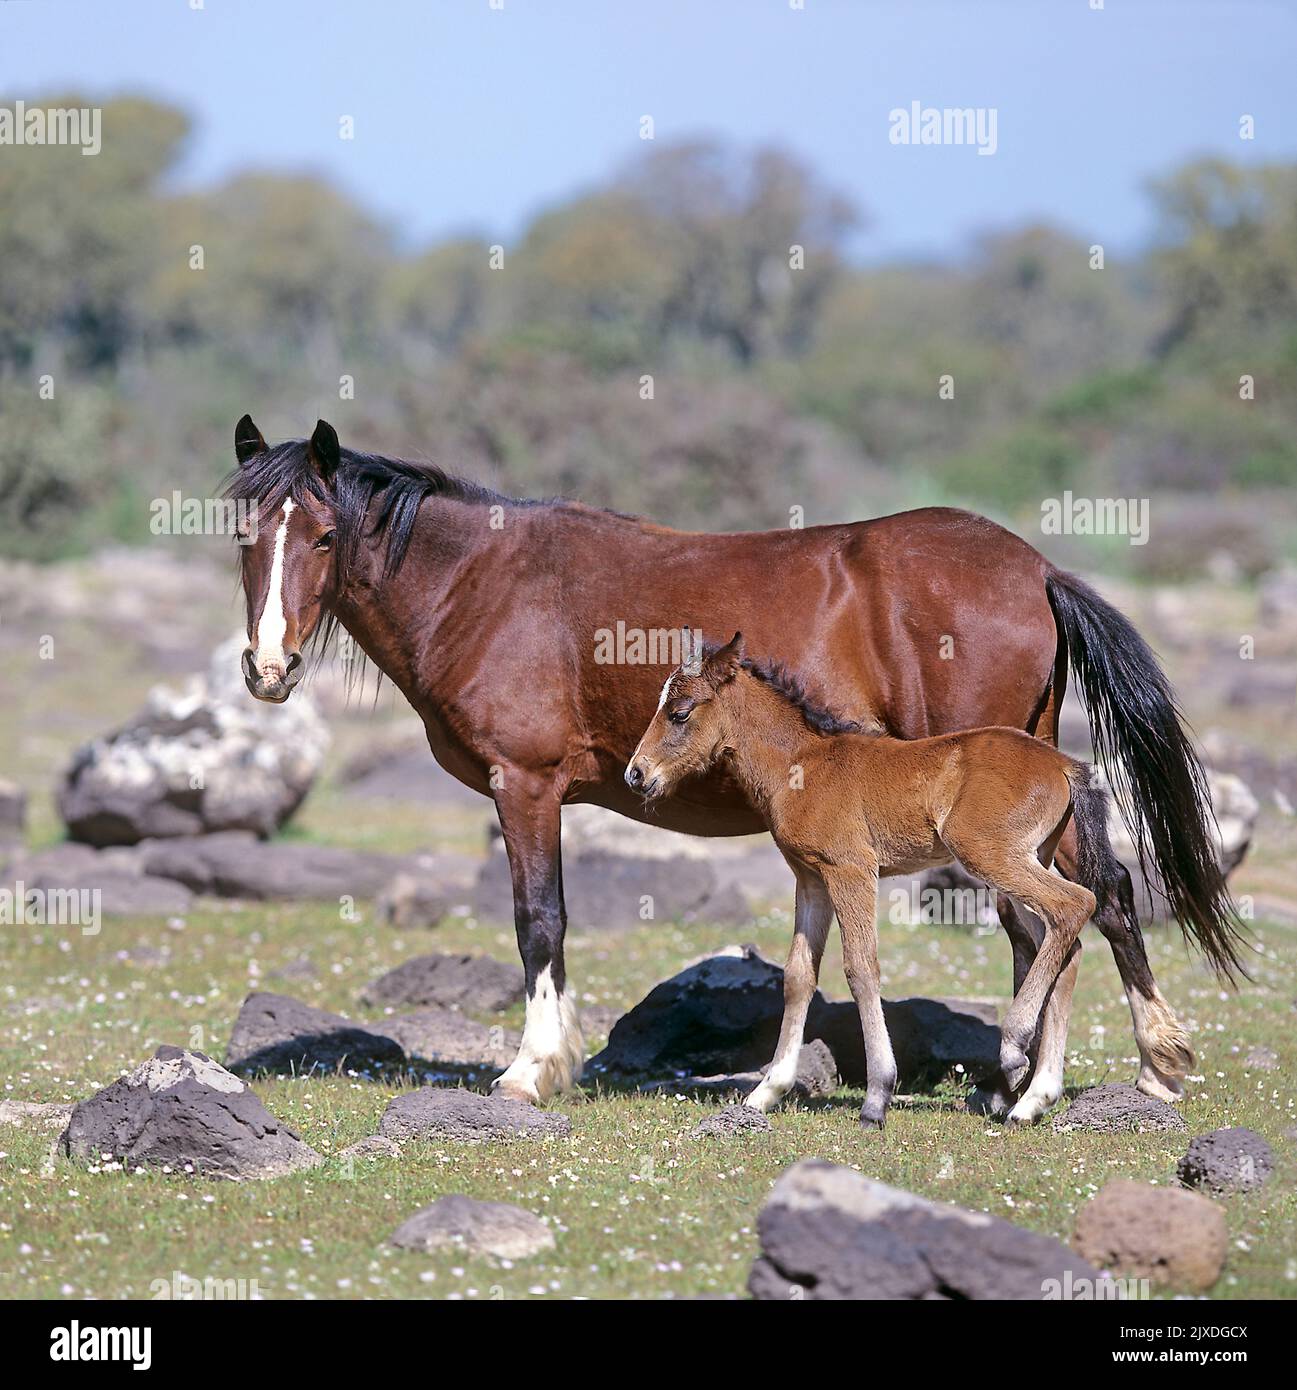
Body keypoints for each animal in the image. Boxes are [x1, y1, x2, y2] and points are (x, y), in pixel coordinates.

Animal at [626, 632, 1141, 1126]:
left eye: (679, 712)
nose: (635, 774)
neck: (801, 764)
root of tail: (1064, 764)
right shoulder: (810, 880)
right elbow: (798, 975)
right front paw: (764, 1093)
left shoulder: (851, 869)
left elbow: (860, 967)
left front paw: (877, 1097)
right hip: (1028, 859)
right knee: (1066, 947)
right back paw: (1034, 1098)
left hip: (990, 855)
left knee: (1074, 906)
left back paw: (1014, 1051)